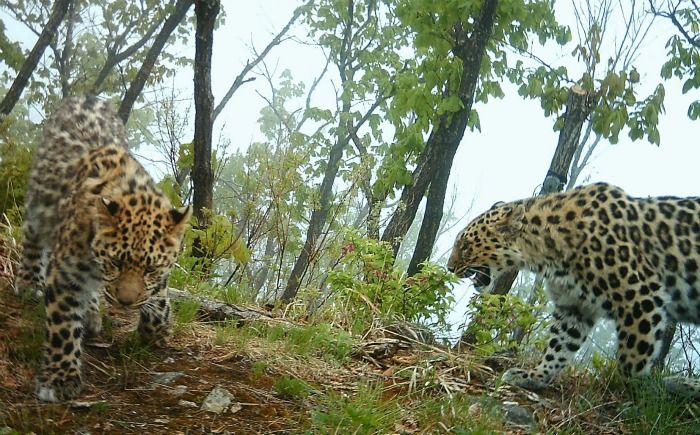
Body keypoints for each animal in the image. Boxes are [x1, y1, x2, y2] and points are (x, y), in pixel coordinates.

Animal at [15, 95, 192, 402]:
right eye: (116, 262)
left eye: (150, 268)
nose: (126, 302)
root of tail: (86, 96)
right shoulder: (65, 273)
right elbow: (63, 326)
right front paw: (60, 379)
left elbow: (158, 296)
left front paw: (157, 330)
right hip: (38, 204)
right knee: (33, 242)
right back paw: (29, 283)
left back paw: (91, 314)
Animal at [447, 182, 700, 398]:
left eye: (466, 246)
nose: (449, 268)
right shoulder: (574, 306)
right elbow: (559, 345)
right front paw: (534, 376)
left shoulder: (641, 295)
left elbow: (632, 359)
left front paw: (642, 390)